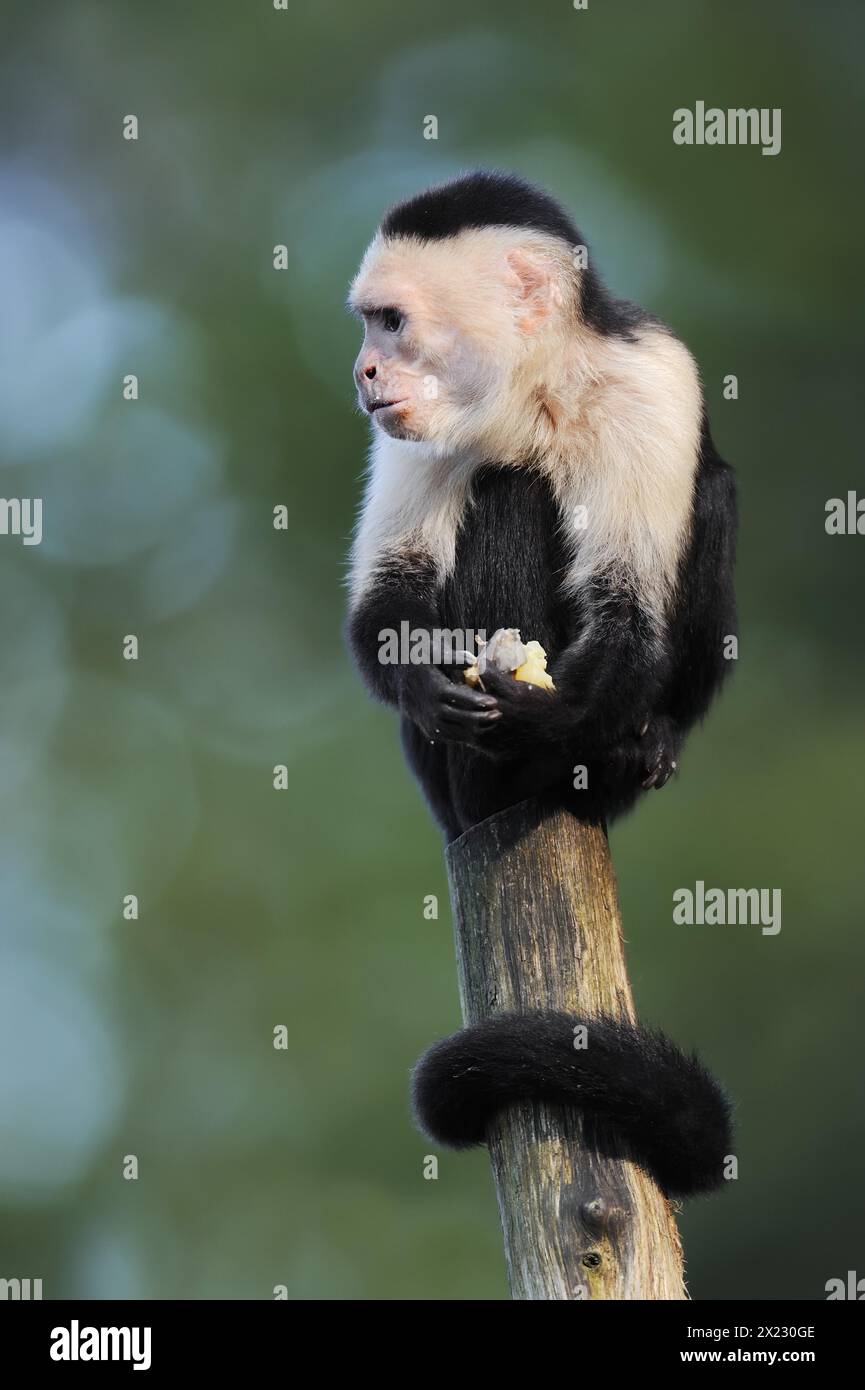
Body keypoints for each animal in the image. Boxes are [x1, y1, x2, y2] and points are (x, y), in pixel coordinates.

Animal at [344, 171, 736, 1196]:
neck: (531, 395)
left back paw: (623, 752)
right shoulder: (409, 430)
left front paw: (555, 716)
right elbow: (384, 604)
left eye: (391, 322)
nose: (364, 372)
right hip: (449, 798)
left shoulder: (652, 383)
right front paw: (429, 688)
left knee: (707, 494)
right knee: (505, 489)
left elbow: (631, 613)